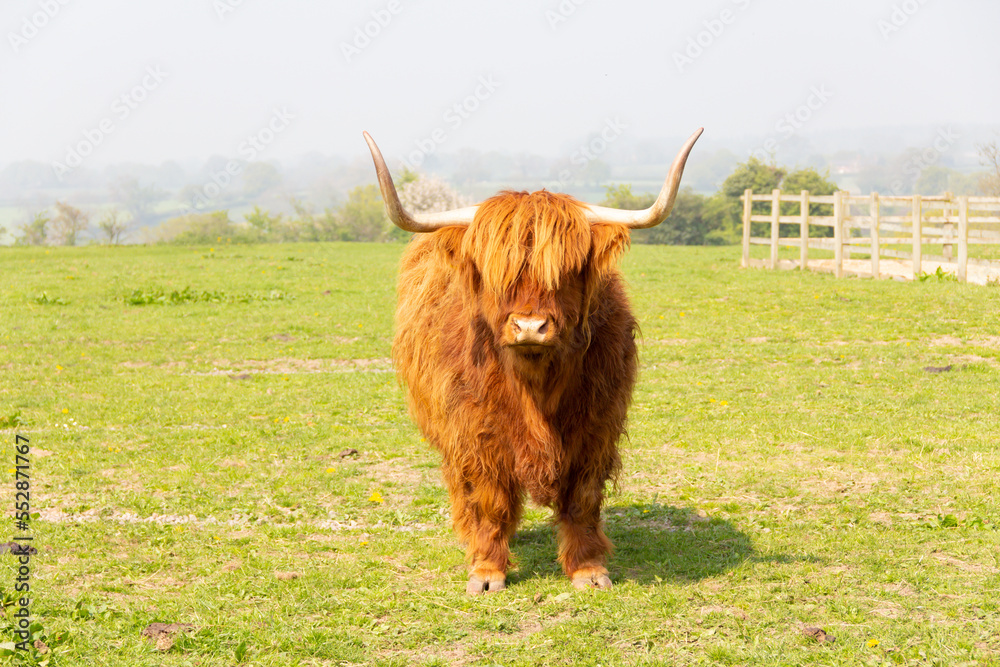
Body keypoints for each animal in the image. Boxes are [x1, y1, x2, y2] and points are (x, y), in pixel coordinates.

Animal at [363, 128, 702, 594]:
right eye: (495, 273)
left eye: (568, 270)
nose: (529, 326)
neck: (536, 383)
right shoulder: (476, 434)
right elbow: (490, 499)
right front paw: (487, 570)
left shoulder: (596, 428)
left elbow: (582, 500)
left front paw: (588, 568)